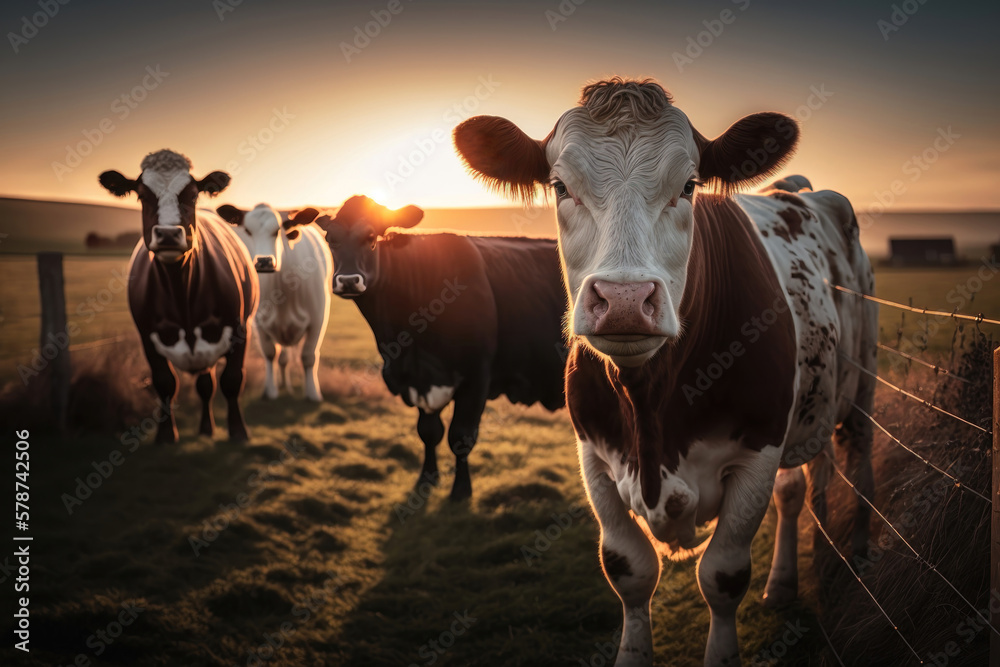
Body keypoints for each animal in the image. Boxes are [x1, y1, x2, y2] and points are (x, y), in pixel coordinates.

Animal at [99, 150, 259, 443]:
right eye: (142, 195)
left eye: (192, 195)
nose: (169, 234)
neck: (180, 289)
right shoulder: (147, 335)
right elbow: (164, 382)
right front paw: (165, 435)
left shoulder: (240, 328)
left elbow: (232, 380)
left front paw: (239, 432)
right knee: (204, 383)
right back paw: (205, 428)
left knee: (208, 383)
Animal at [217, 203, 333, 402]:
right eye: (248, 230)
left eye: (278, 230)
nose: (263, 261)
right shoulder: (259, 322)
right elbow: (270, 353)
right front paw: (270, 391)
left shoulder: (318, 319)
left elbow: (308, 356)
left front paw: (313, 393)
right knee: (282, 358)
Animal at [314, 196, 568, 500]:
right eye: (331, 239)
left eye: (371, 237)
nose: (349, 280)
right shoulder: (415, 380)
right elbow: (428, 432)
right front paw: (426, 478)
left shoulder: (477, 378)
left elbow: (461, 436)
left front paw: (461, 490)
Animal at [454, 78, 877, 666]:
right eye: (560, 186)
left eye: (689, 185)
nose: (626, 300)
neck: (649, 407)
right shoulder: (594, 457)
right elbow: (628, 569)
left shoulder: (759, 450)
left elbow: (723, 577)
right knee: (796, 494)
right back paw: (783, 584)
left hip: (863, 386)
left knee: (854, 468)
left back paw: (853, 558)